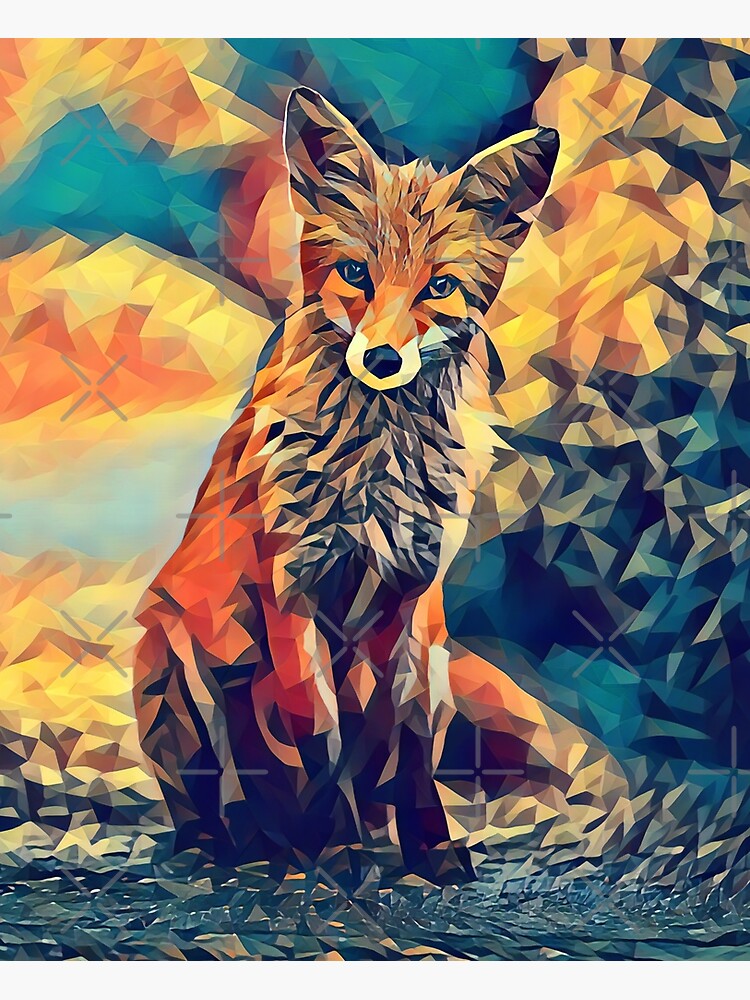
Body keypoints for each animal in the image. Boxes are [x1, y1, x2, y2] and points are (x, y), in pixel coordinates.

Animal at [133, 87, 628, 879]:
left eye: (440, 288)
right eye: (358, 275)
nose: (385, 360)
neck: (377, 469)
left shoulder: (415, 600)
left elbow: (412, 745)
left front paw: (430, 851)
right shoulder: (292, 591)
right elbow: (319, 737)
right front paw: (339, 857)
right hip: (173, 657)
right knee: (216, 805)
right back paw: (246, 847)